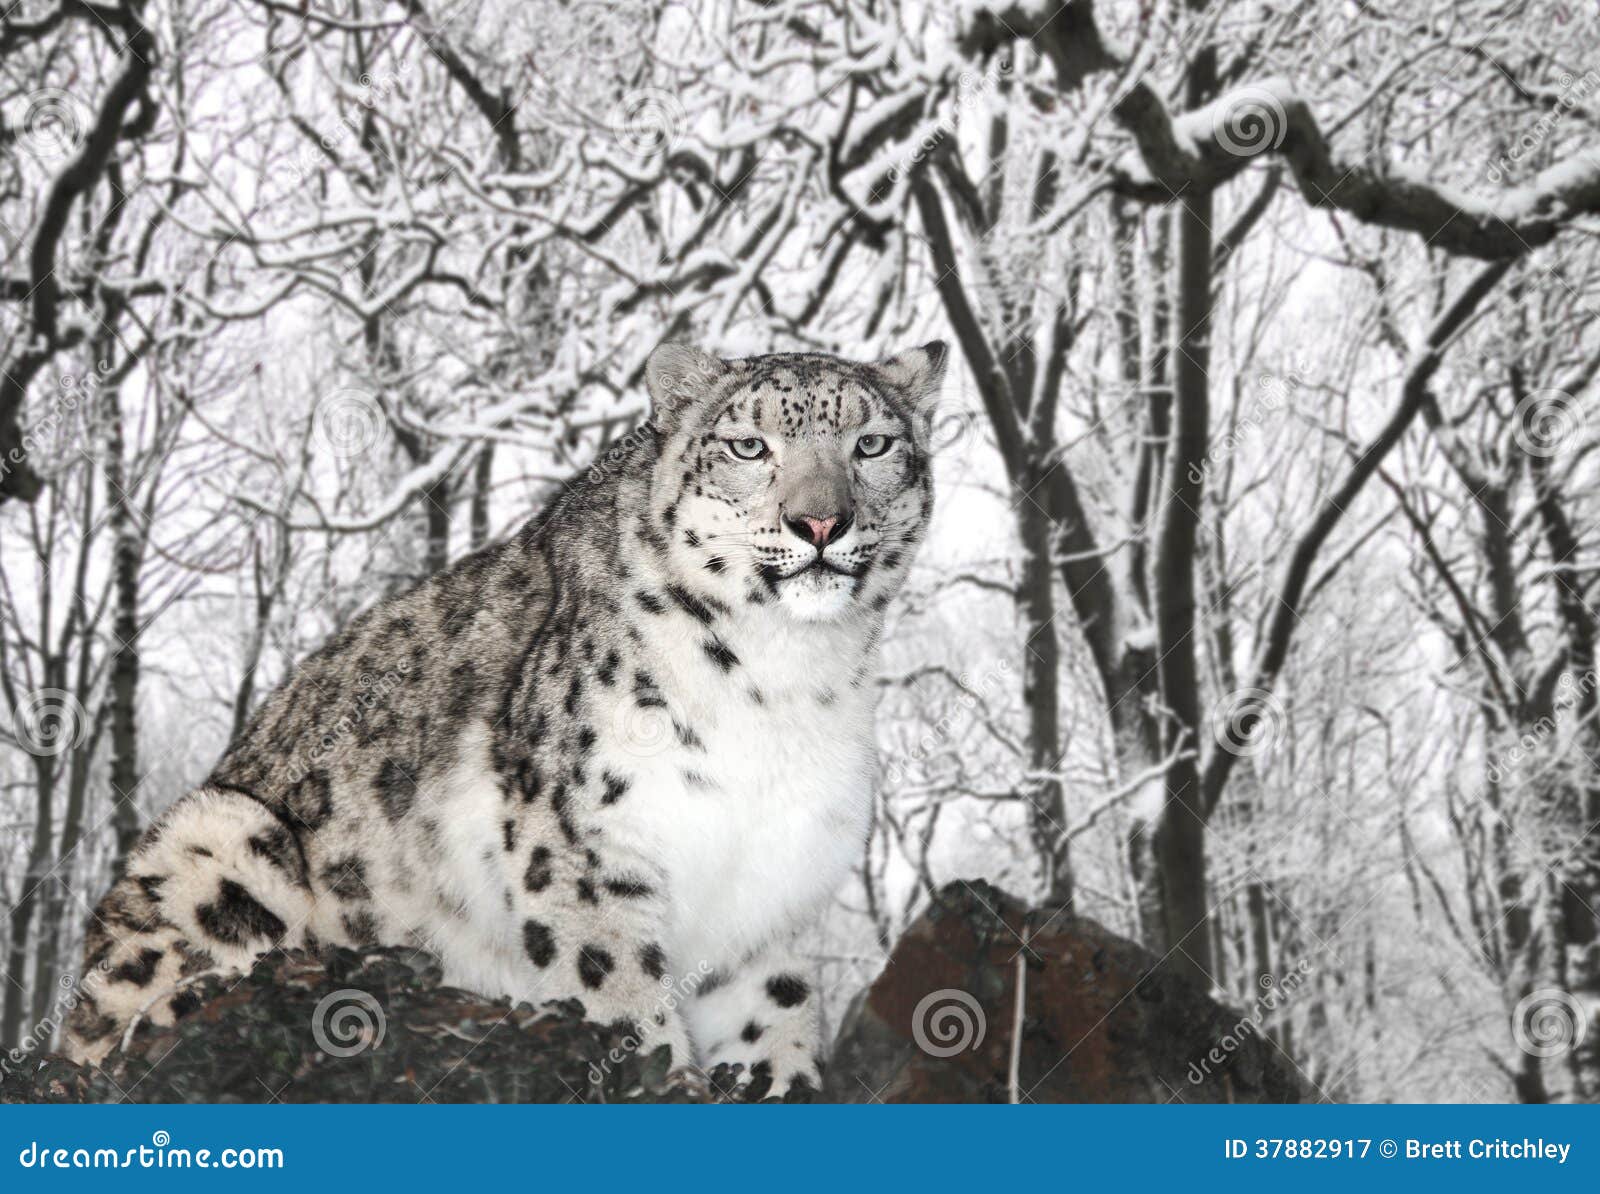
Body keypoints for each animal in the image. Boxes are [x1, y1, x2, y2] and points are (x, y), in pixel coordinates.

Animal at [64, 341, 947, 1099]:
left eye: (871, 444)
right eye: (750, 446)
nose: (820, 523)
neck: (785, 682)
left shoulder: (764, 897)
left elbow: (775, 1012)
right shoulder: (588, 847)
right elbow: (622, 998)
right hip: (217, 836)